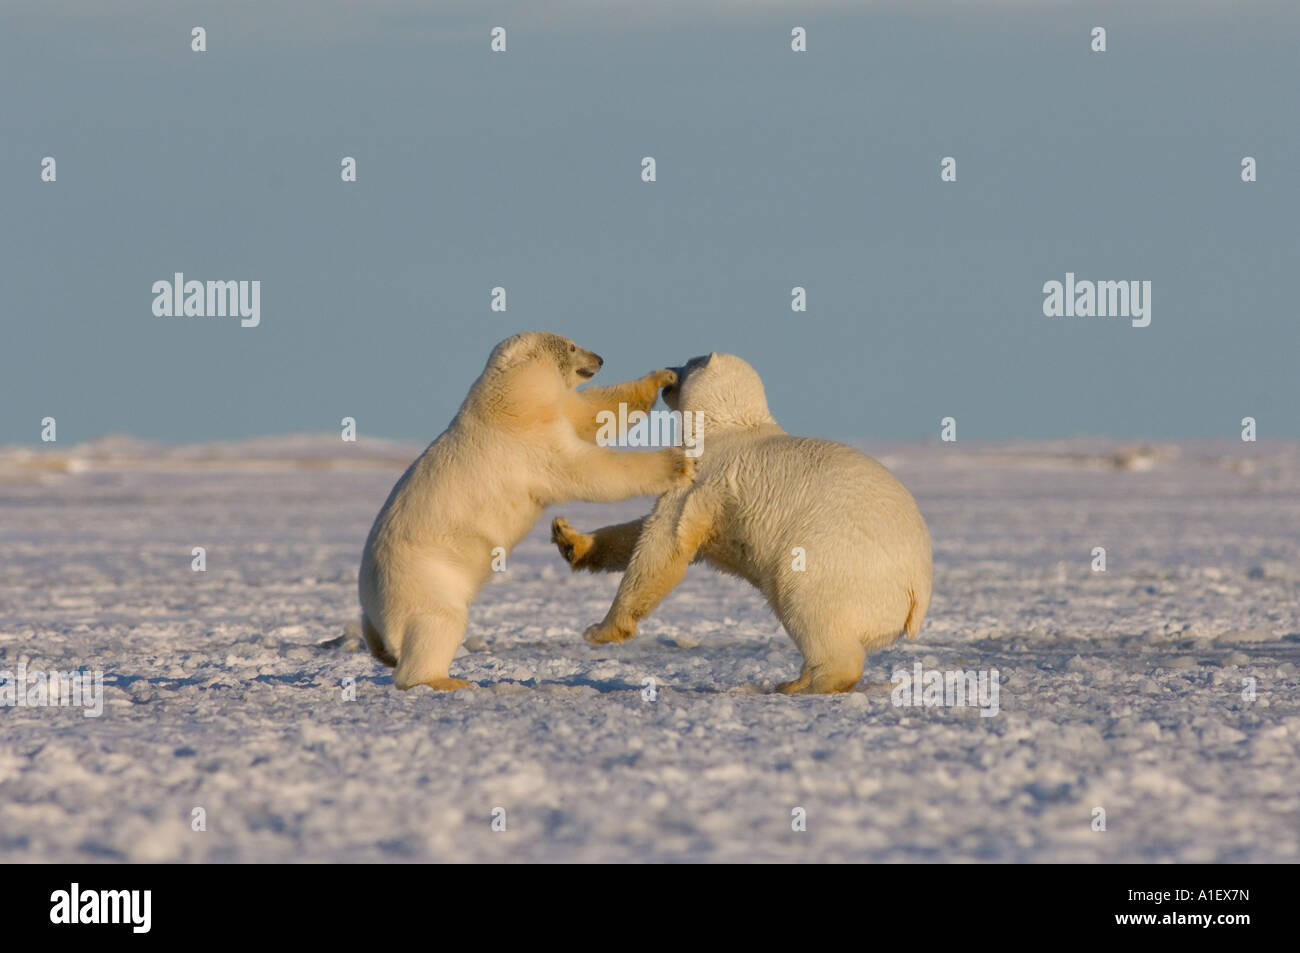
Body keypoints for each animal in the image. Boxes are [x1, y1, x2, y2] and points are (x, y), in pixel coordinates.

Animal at [359, 331, 693, 691]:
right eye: (572, 346)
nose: (600, 358)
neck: (506, 405)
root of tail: (368, 602)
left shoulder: (548, 413)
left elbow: (590, 413)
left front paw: (662, 377)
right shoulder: (527, 445)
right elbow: (588, 469)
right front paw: (679, 462)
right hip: (424, 577)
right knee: (438, 622)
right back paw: (445, 681)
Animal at [550, 352, 932, 694]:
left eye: (688, 362)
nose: (669, 371)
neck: (728, 426)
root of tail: (918, 589)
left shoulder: (704, 476)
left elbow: (662, 543)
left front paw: (600, 629)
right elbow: (639, 532)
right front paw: (568, 540)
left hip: (834, 563)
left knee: (809, 608)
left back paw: (810, 685)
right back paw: (793, 680)